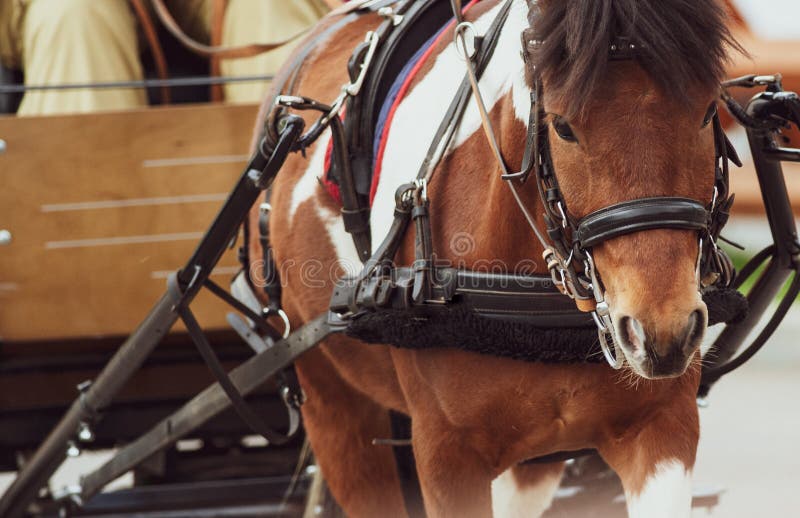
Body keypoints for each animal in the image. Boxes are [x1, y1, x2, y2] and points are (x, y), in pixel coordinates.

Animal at [245, 0, 740, 516]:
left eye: (708, 110)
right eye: (562, 126)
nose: (663, 332)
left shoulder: (661, 428)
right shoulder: (447, 452)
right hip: (333, 403)